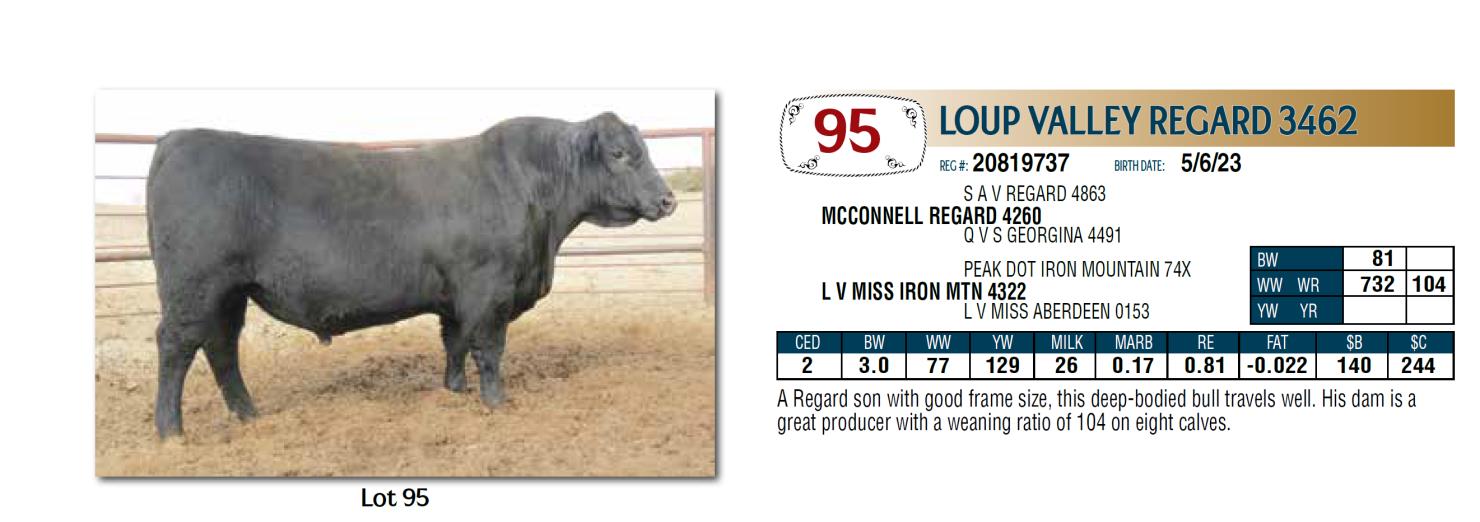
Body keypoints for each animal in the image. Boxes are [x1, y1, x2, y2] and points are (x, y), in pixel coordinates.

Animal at [145, 112, 676, 438]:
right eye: (619, 154)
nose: (667, 199)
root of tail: (178, 138)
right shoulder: (490, 291)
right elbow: (489, 349)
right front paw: (496, 402)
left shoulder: (456, 296)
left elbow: (455, 344)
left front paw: (454, 392)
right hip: (195, 288)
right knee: (176, 348)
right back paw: (171, 431)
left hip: (229, 293)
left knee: (221, 348)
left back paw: (249, 415)